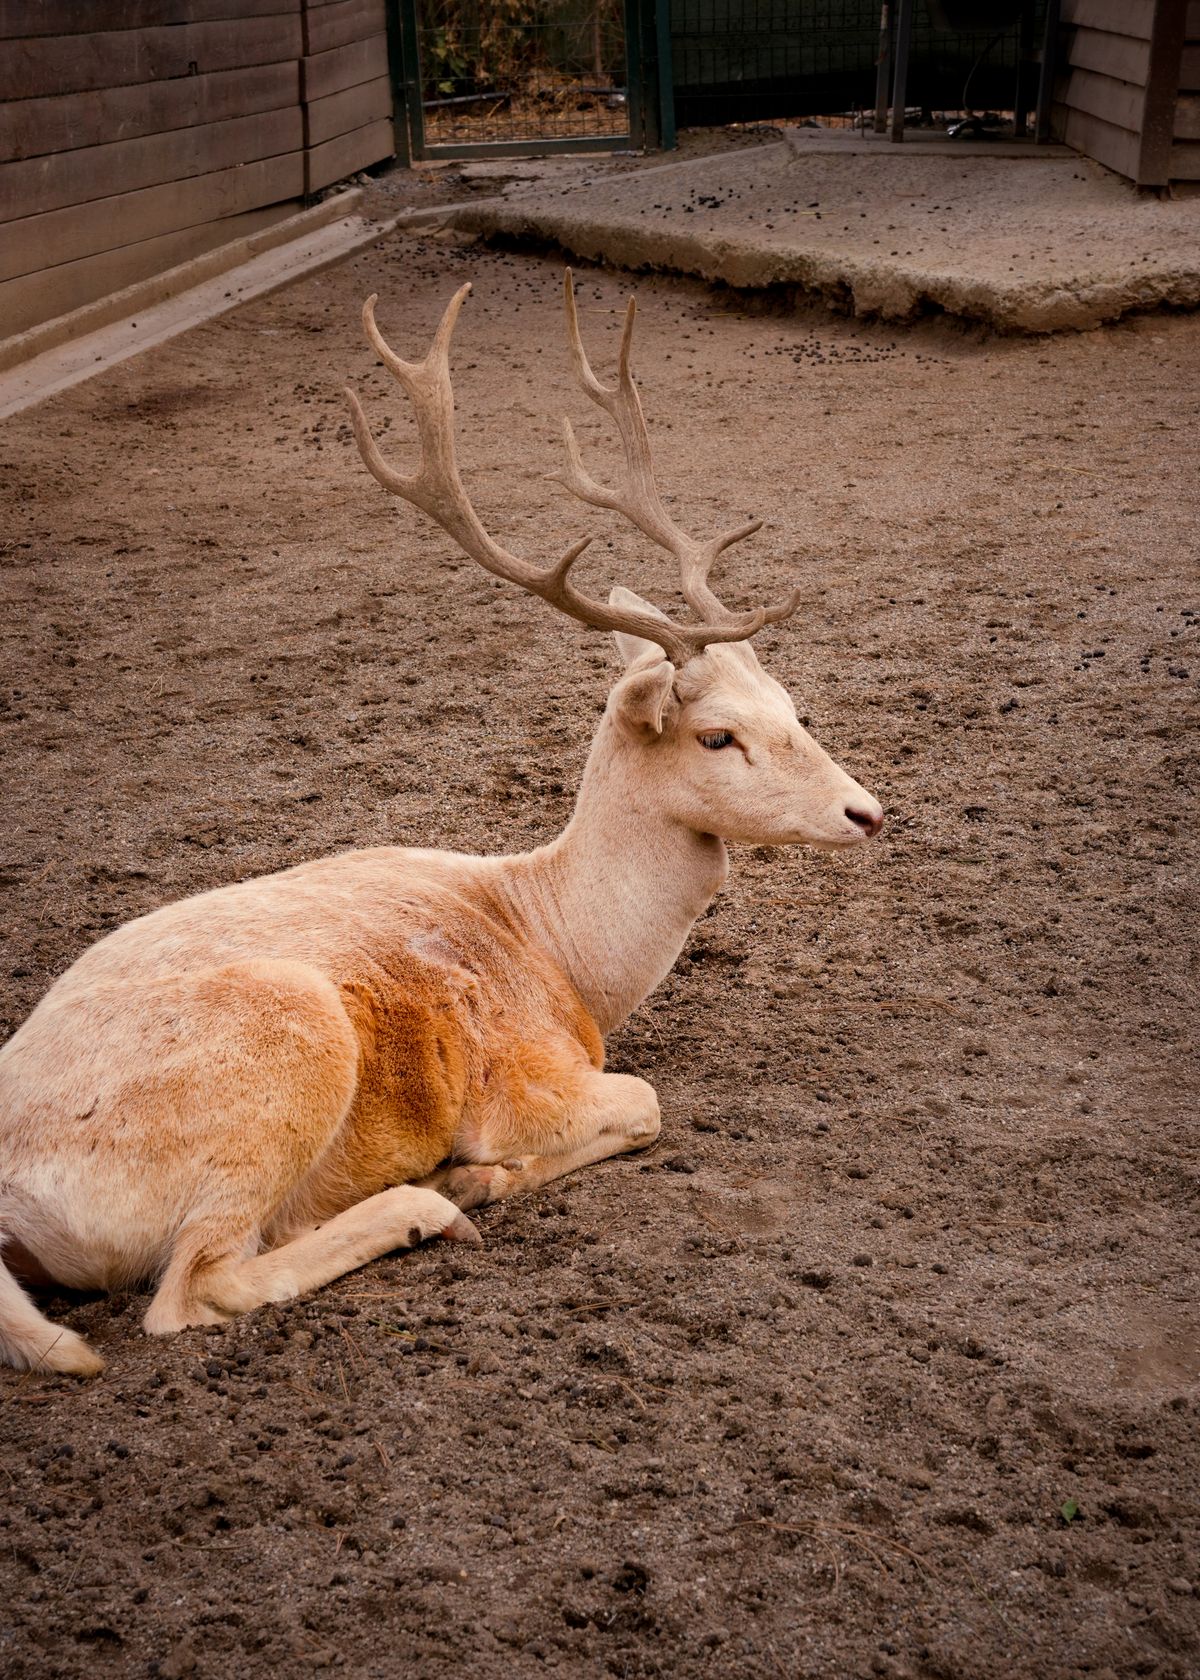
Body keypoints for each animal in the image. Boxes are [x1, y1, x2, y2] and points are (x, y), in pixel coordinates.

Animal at [0, 272, 882, 1377]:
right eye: (718, 736)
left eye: (790, 702)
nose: (867, 810)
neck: (566, 956)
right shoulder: (525, 1077)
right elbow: (643, 1103)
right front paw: (480, 1173)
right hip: (288, 1037)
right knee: (194, 1288)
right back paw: (425, 1206)